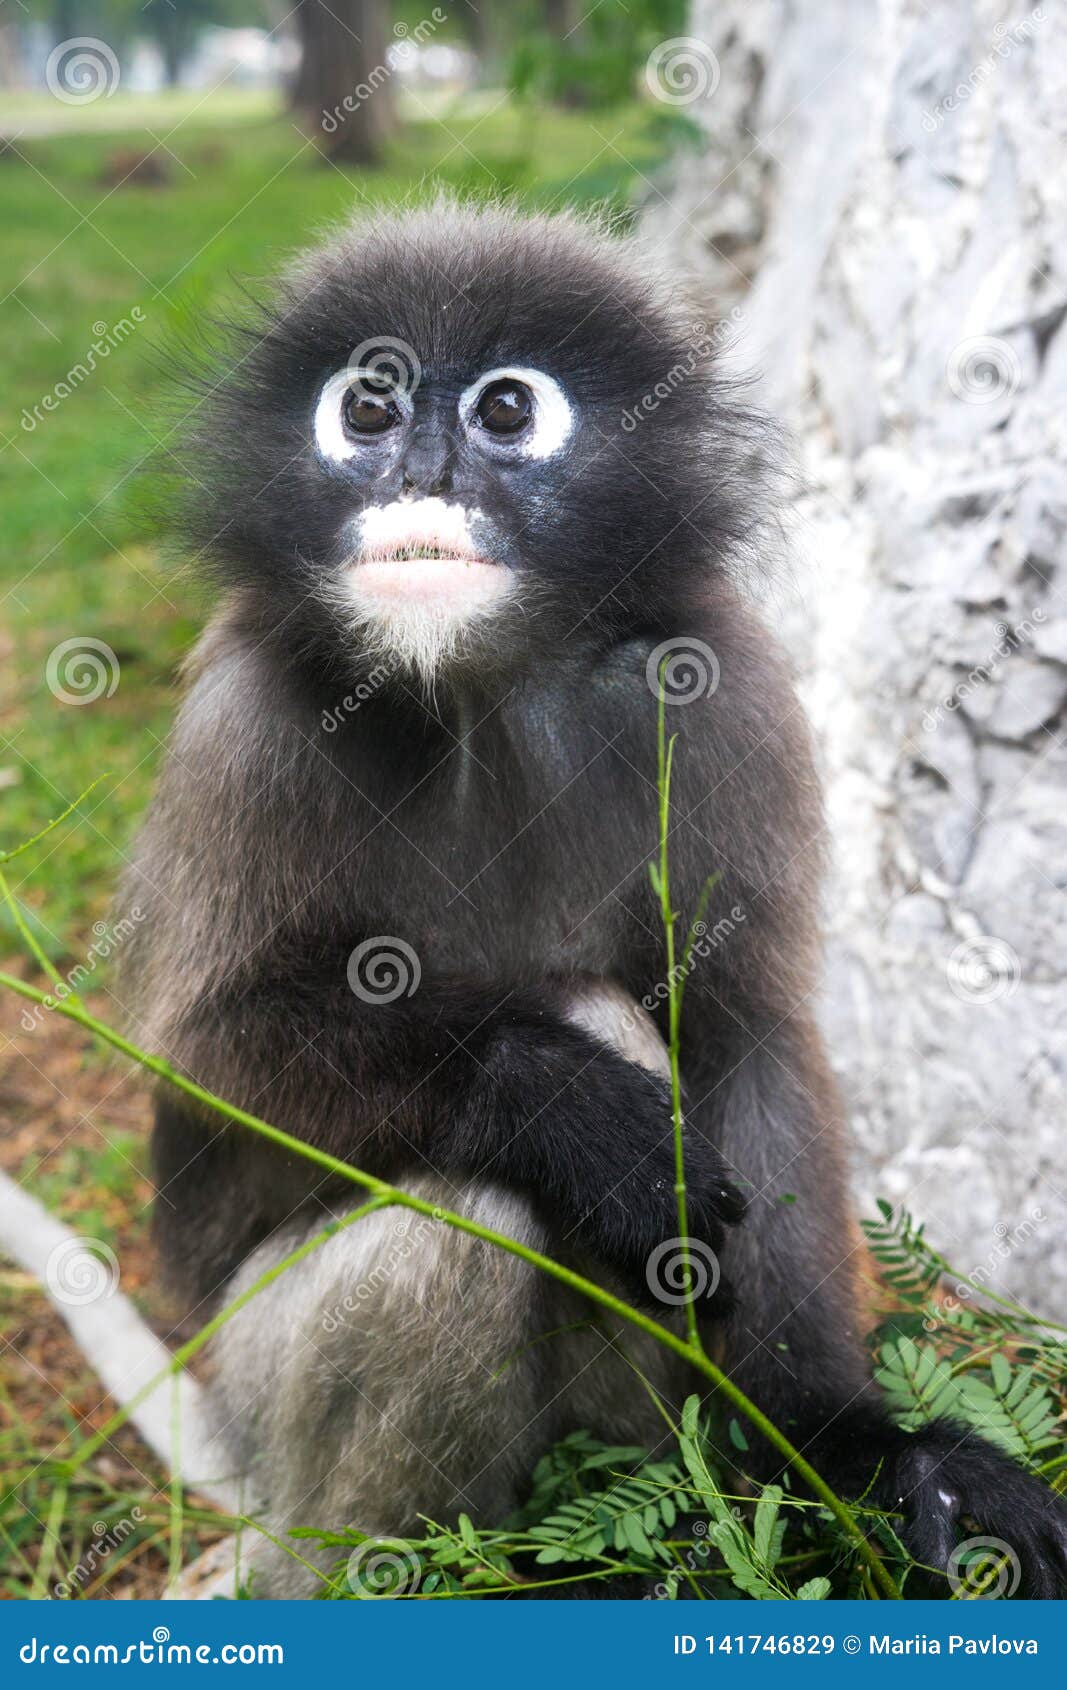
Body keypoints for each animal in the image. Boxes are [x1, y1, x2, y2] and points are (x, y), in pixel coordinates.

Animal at [118, 201, 1067, 1599]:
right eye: (366, 405)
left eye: (507, 409)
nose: (421, 471)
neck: (476, 689)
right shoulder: (246, 724)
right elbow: (205, 1053)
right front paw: (556, 1102)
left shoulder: (727, 695)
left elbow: (742, 1035)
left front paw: (859, 1450)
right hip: (247, 1377)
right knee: (462, 1213)